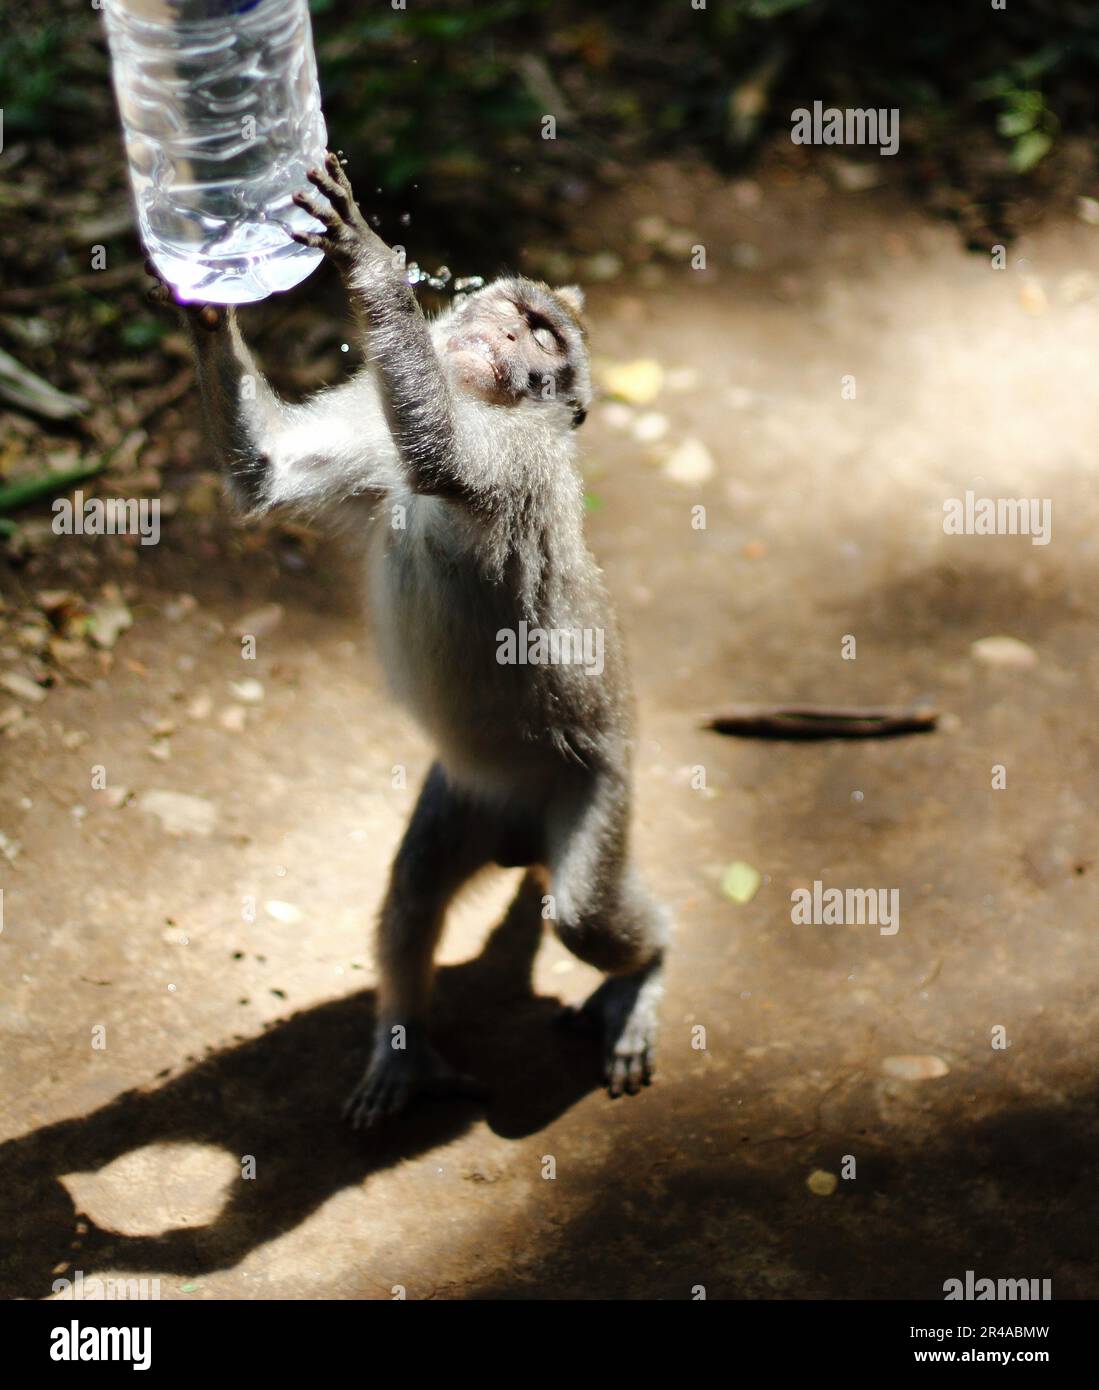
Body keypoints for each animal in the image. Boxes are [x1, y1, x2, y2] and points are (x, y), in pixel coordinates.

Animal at [157, 152, 670, 1128]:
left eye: (542, 336)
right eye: (513, 313)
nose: (505, 334)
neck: (483, 397)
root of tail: (522, 834)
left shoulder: (515, 459)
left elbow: (437, 454)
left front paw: (364, 258)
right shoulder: (370, 446)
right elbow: (265, 474)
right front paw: (207, 298)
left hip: (600, 788)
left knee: (583, 914)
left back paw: (644, 975)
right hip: (467, 793)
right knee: (413, 892)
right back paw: (405, 1049)